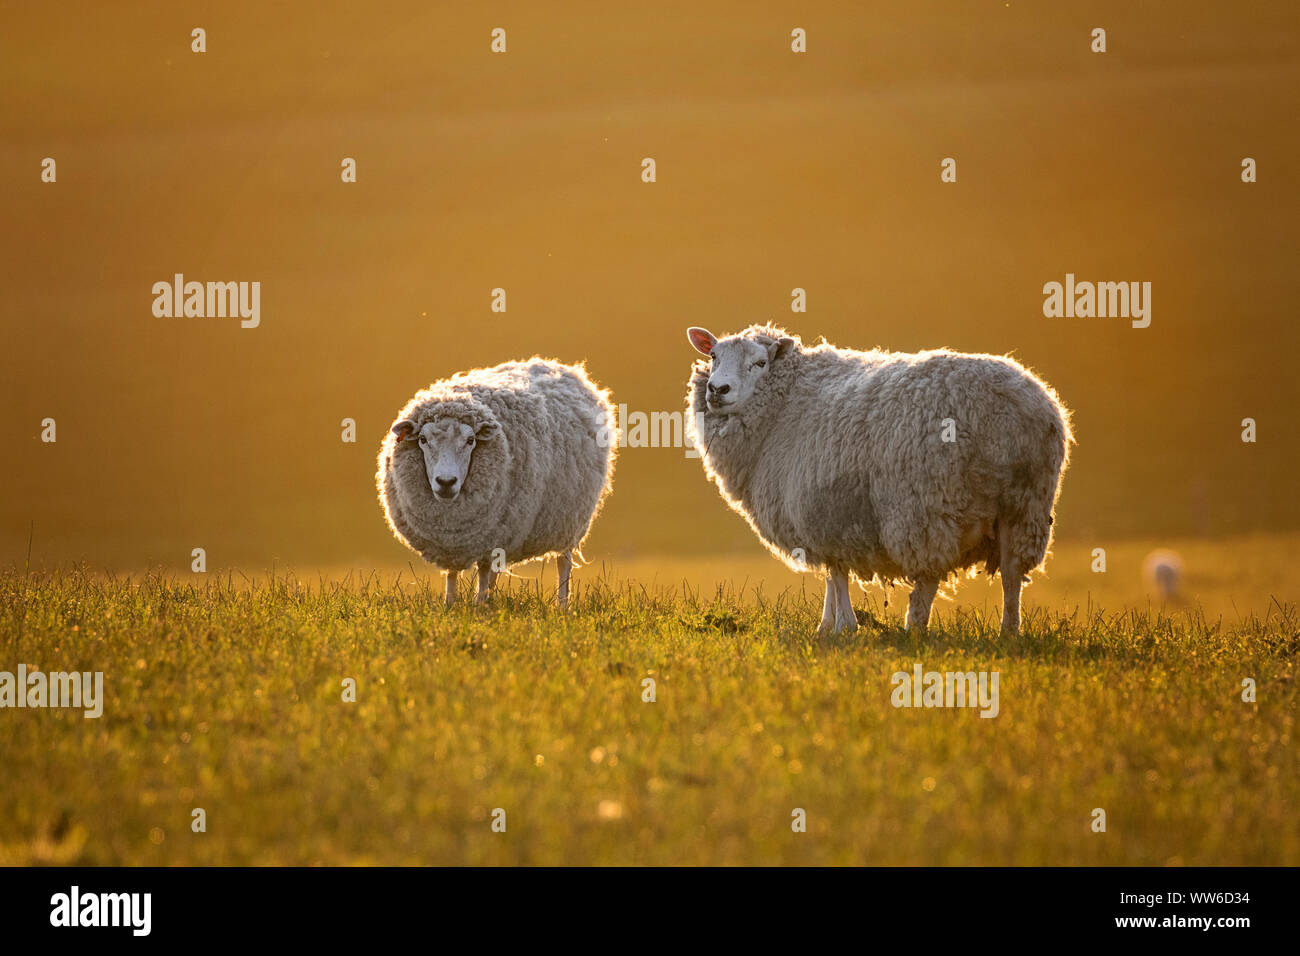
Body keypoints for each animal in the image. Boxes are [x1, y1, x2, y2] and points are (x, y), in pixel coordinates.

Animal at [377, 358, 617, 609]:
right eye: (423, 440)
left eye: (470, 440)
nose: (446, 482)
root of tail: (563, 368)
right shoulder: (452, 543)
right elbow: (453, 573)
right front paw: (450, 604)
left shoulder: (489, 537)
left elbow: (483, 571)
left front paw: (479, 607)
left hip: (568, 520)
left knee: (564, 563)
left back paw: (562, 605)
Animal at [684, 324, 1072, 637]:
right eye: (714, 356)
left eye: (760, 363)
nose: (717, 389)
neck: (787, 401)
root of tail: (1007, 414)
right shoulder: (832, 515)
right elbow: (834, 574)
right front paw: (828, 625)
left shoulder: (822, 512)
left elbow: (836, 572)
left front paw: (842, 625)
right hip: (1025, 507)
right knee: (1012, 574)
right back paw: (1010, 632)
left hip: (924, 507)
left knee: (928, 577)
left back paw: (914, 628)